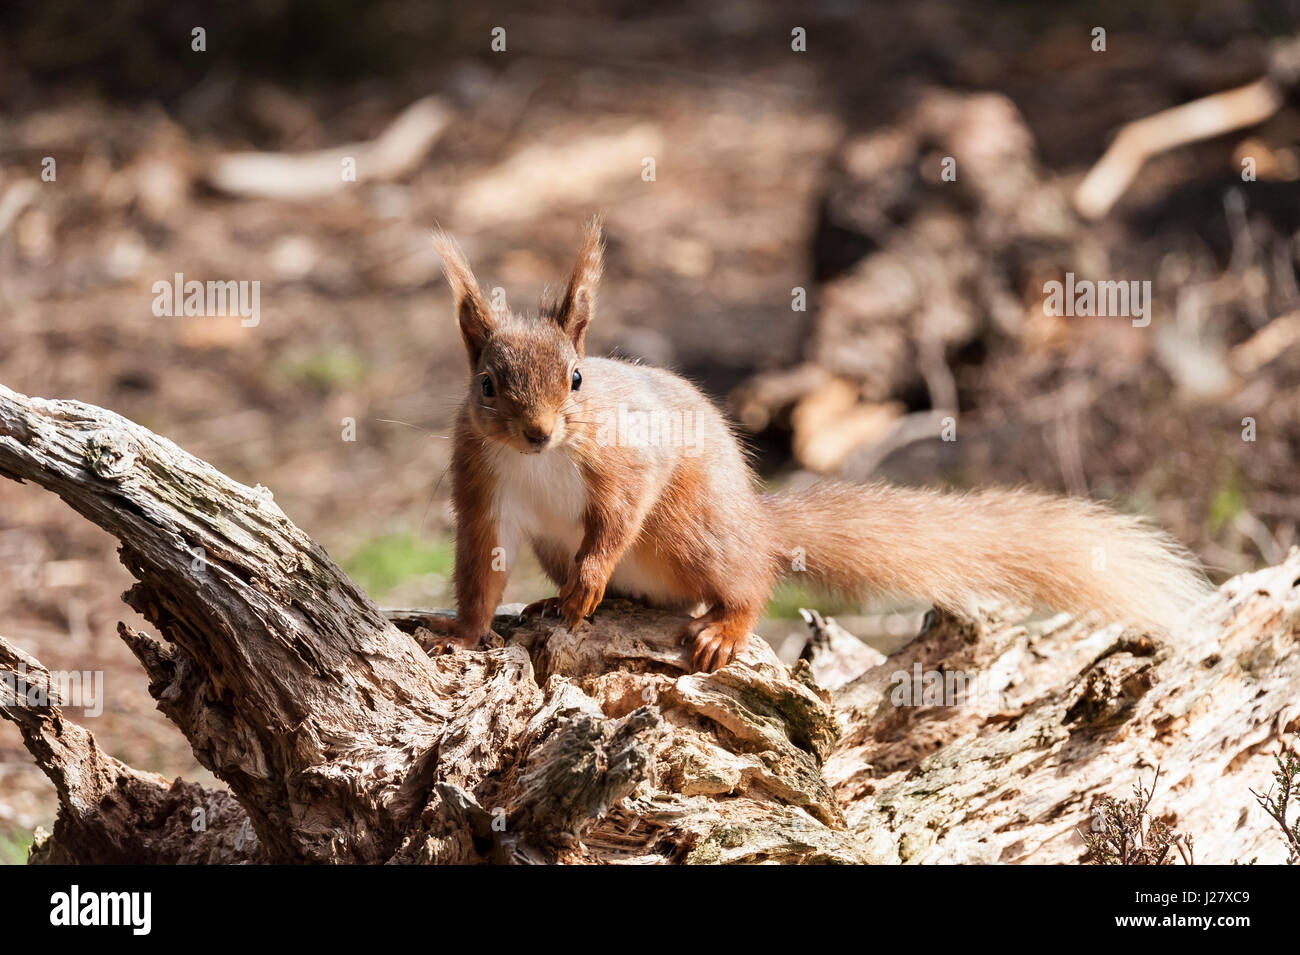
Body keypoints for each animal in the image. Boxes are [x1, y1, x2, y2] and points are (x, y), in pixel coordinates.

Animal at [428, 219, 1211, 672]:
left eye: (577, 377)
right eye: (488, 384)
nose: (538, 433)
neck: (540, 462)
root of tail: (756, 523)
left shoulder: (627, 457)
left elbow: (621, 508)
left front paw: (589, 579)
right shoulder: (484, 486)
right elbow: (480, 567)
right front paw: (463, 633)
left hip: (690, 529)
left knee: (748, 581)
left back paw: (715, 624)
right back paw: (549, 604)